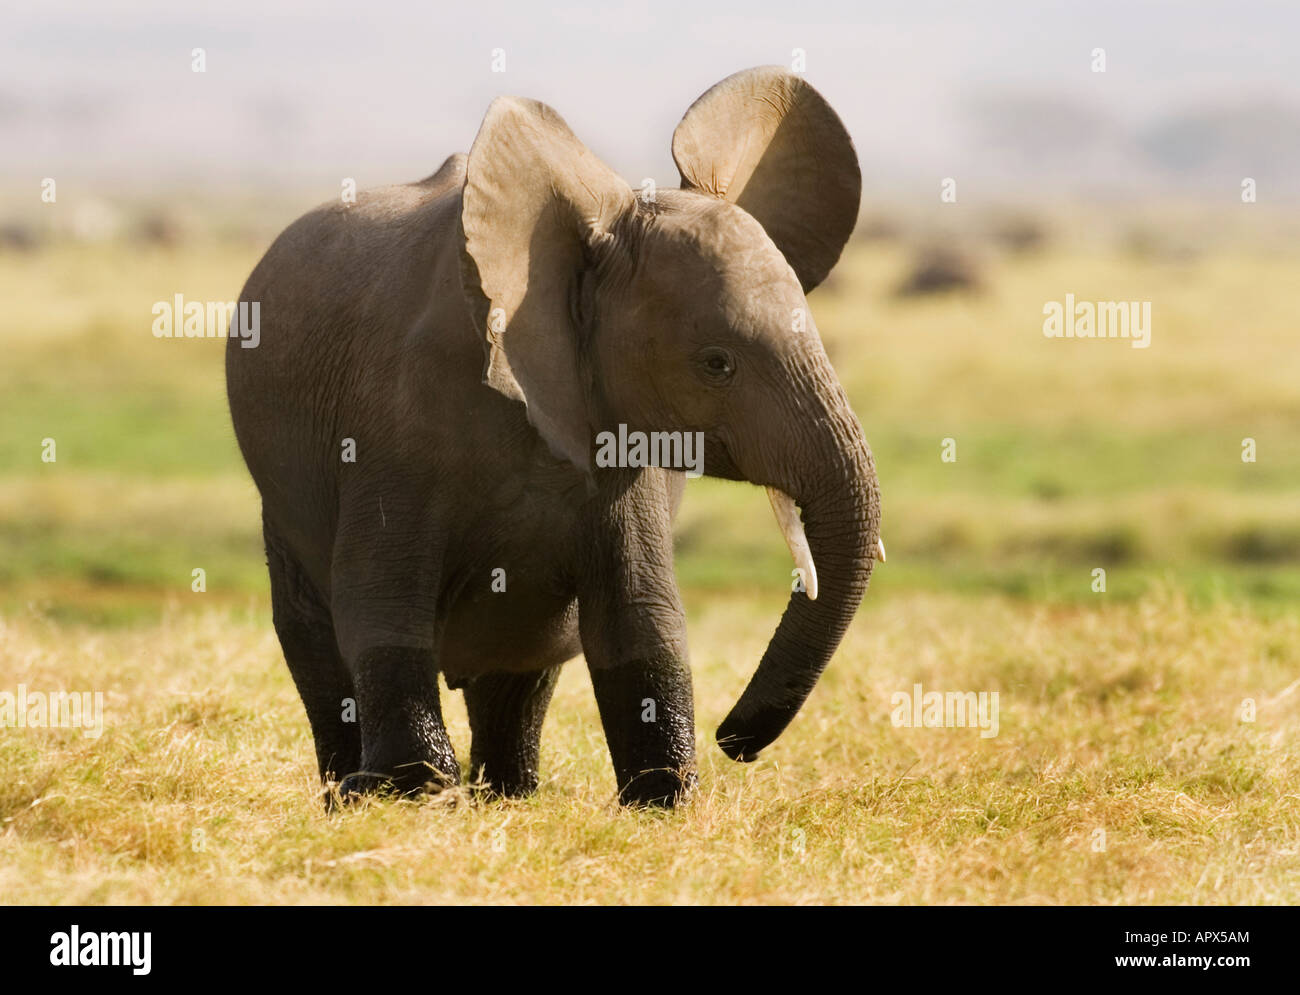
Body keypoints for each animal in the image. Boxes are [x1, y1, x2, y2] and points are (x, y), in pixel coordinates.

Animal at [225, 65, 882, 809]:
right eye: (717, 363)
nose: (733, 740)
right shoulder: (390, 420)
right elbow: (380, 602)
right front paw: (413, 794)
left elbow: (641, 614)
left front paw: (664, 801)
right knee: (316, 637)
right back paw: (350, 795)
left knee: (526, 663)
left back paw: (508, 796)